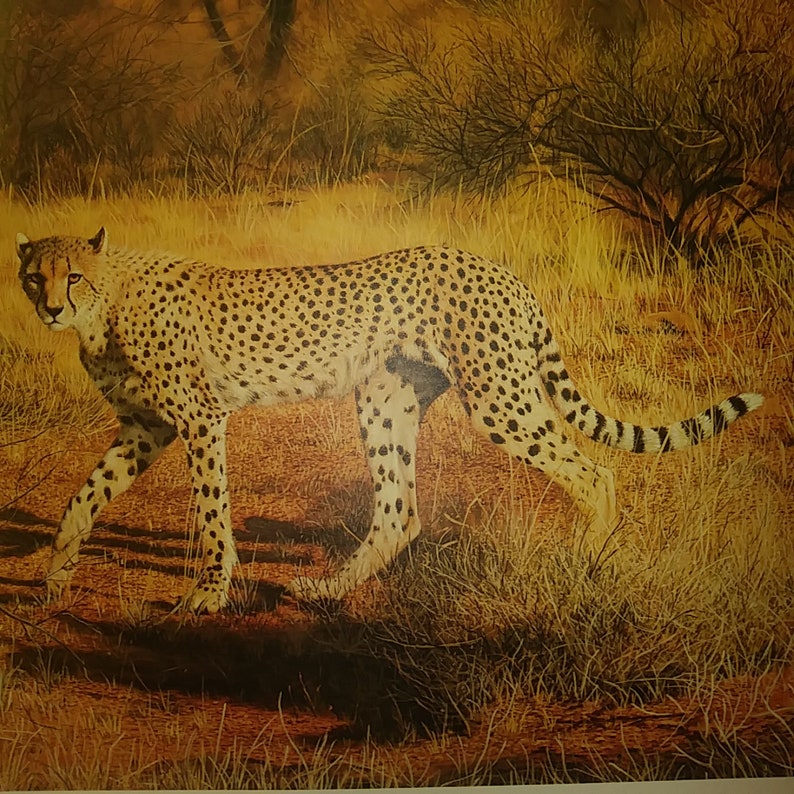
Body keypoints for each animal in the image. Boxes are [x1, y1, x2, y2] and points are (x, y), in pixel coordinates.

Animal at [16, 227, 764, 613]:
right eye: (33, 276)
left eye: (72, 275)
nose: (49, 308)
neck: (105, 301)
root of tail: (497, 268)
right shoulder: (148, 428)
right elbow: (83, 497)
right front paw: (56, 573)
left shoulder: (199, 420)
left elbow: (210, 510)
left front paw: (206, 594)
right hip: (384, 402)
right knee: (401, 511)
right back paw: (325, 590)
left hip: (500, 398)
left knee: (593, 471)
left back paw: (590, 562)